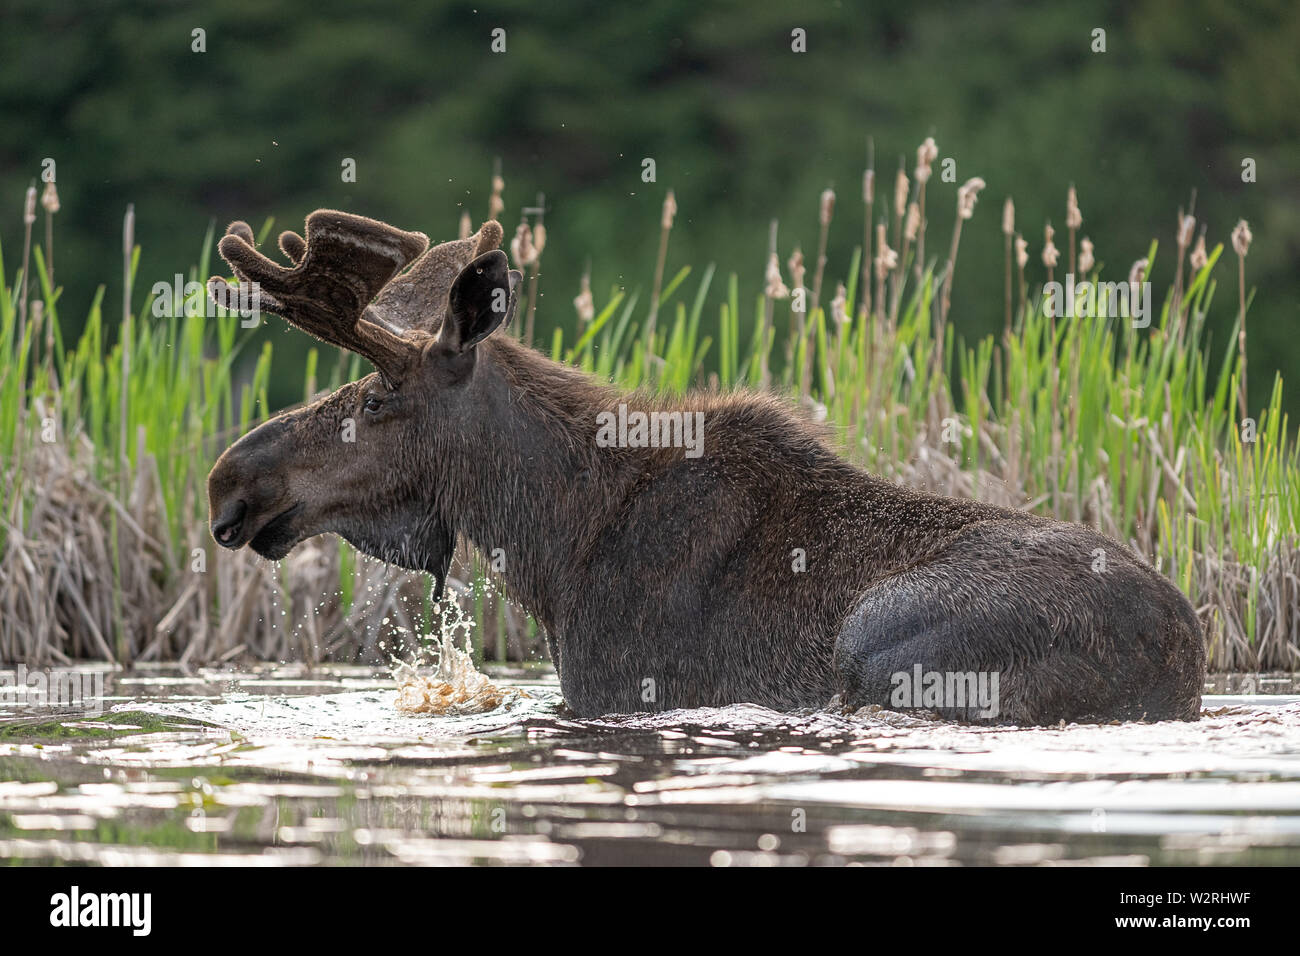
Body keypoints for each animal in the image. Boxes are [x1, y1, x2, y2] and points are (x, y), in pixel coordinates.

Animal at [205, 209, 1206, 724]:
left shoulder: (613, 686)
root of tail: (1187, 655)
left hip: (882, 646)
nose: (229, 480)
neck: (549, 544)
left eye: (377, 399)